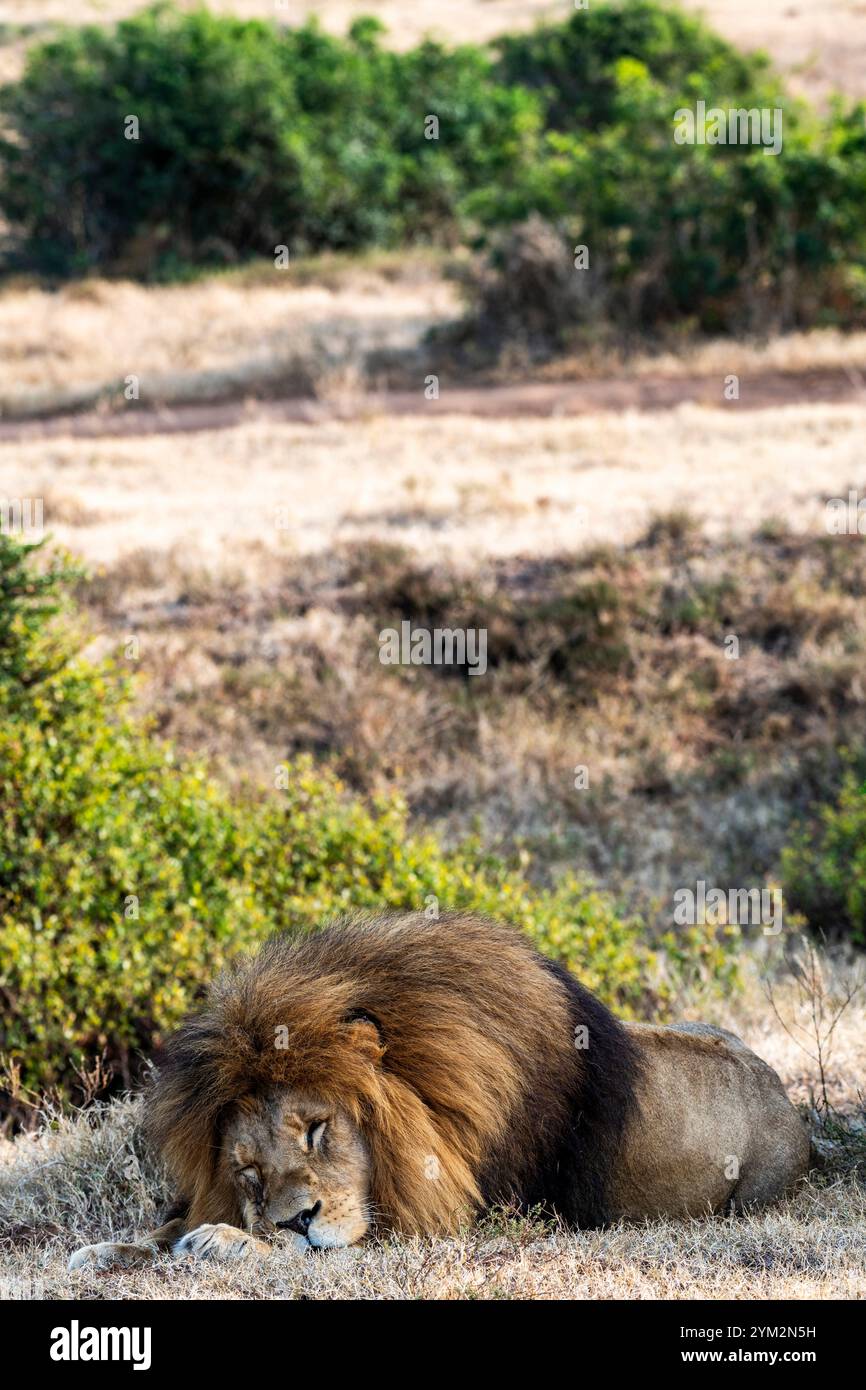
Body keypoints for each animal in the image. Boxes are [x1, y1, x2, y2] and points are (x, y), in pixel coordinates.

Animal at [69, 913, 809, 1270]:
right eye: (246, 1170)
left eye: (316, 1128)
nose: (296, 1219)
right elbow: (164, 1229)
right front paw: (110, 1250)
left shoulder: (467, 1217)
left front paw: (225, 1241)